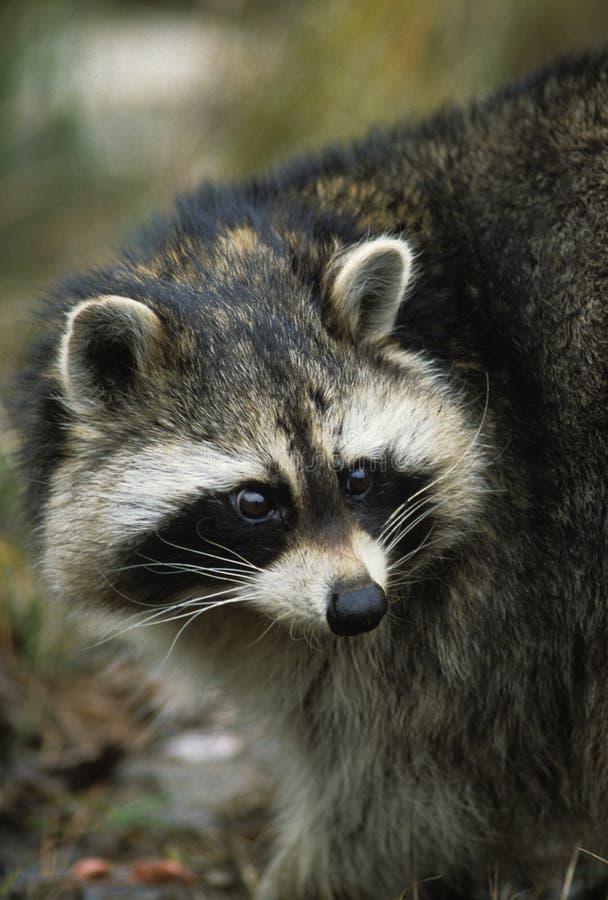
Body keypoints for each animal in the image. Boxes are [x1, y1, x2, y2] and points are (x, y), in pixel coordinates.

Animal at [9, 51, 608, 898]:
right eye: (254, 502)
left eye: (358, 477)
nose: (359, 607)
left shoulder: (492, 613)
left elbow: (402, 799)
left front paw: (303, 878)